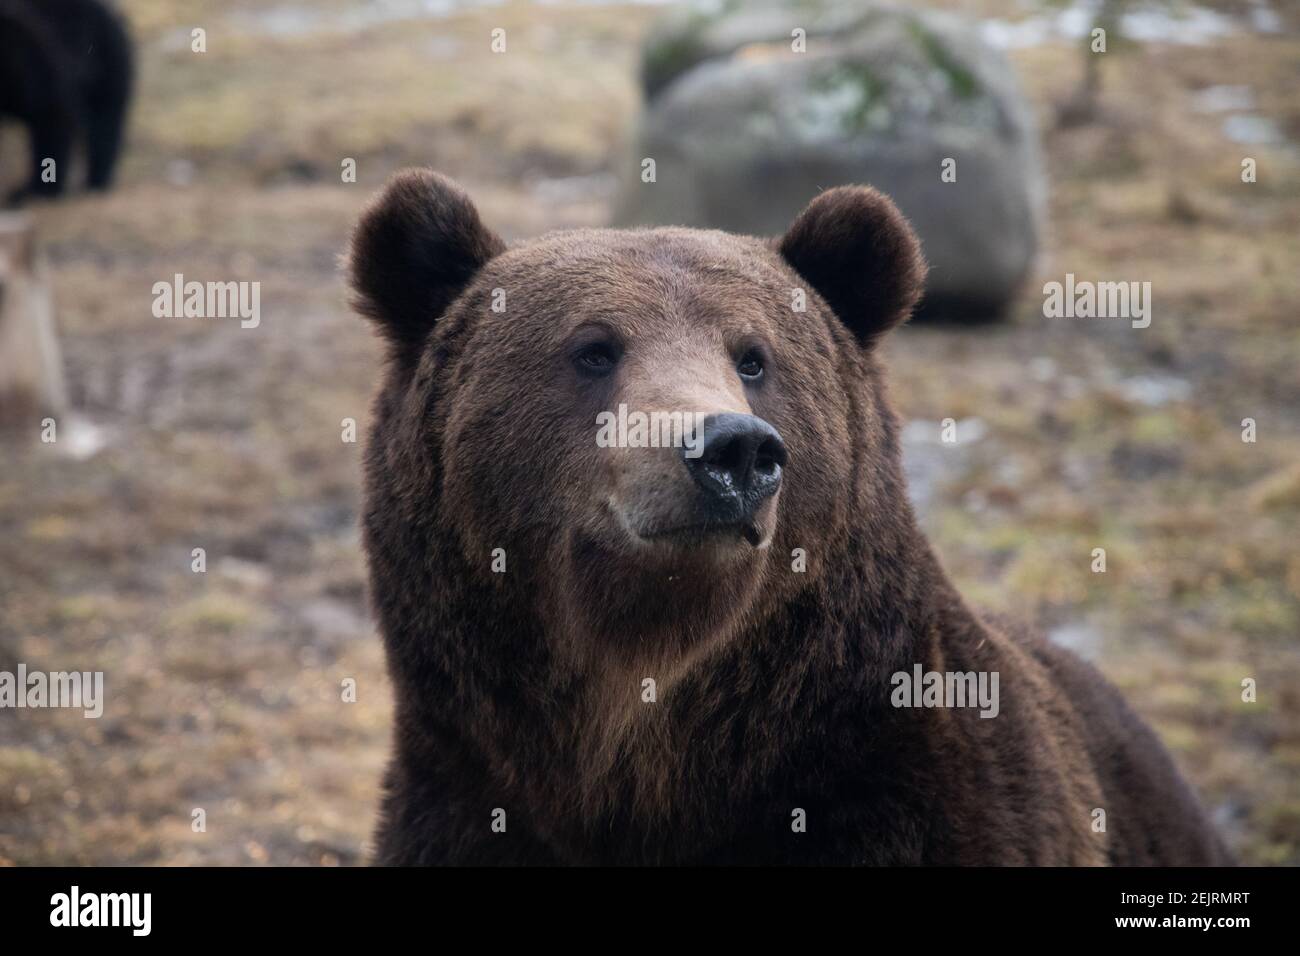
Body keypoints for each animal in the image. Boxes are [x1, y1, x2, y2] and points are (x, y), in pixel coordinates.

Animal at [0, 0, 133, 203]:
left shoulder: (25, 53)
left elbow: (53, 113)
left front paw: (35, 191)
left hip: (107, 66)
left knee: (104, 126)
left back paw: (95, 182)